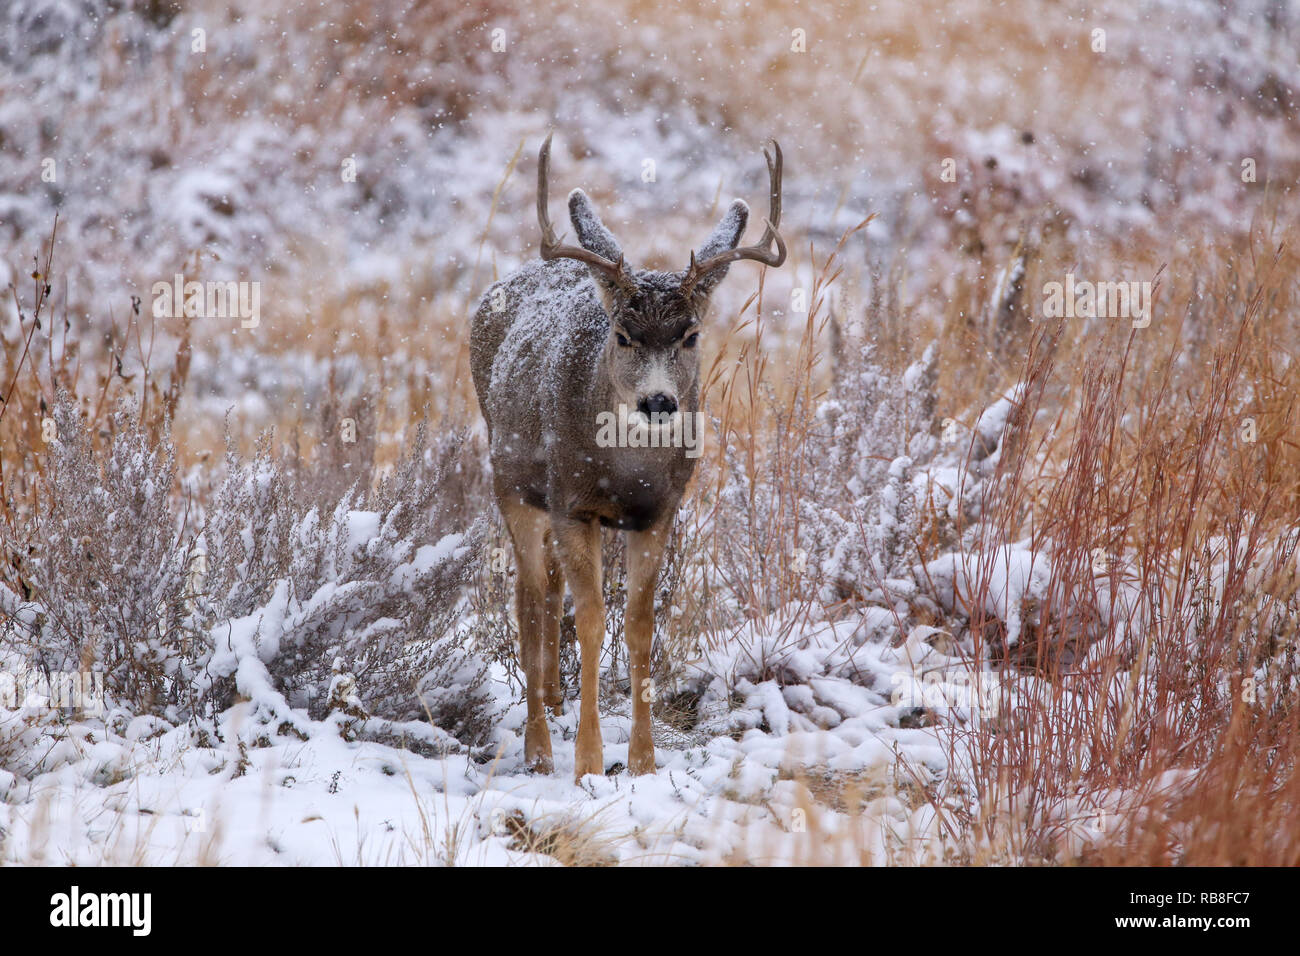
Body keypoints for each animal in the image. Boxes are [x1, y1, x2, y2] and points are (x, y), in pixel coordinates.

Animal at [470, 133, 785, 780]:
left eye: (691, 334)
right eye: (621, 335)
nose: (659, 400)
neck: (625, 473)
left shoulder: (660, 513)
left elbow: (639, 626)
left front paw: (642, 759)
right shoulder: (574, 504)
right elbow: (591, 620)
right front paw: (589, 760)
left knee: (549, 588)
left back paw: (554, 700)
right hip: (513, 485)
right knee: (529, 598)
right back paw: (539, 746)